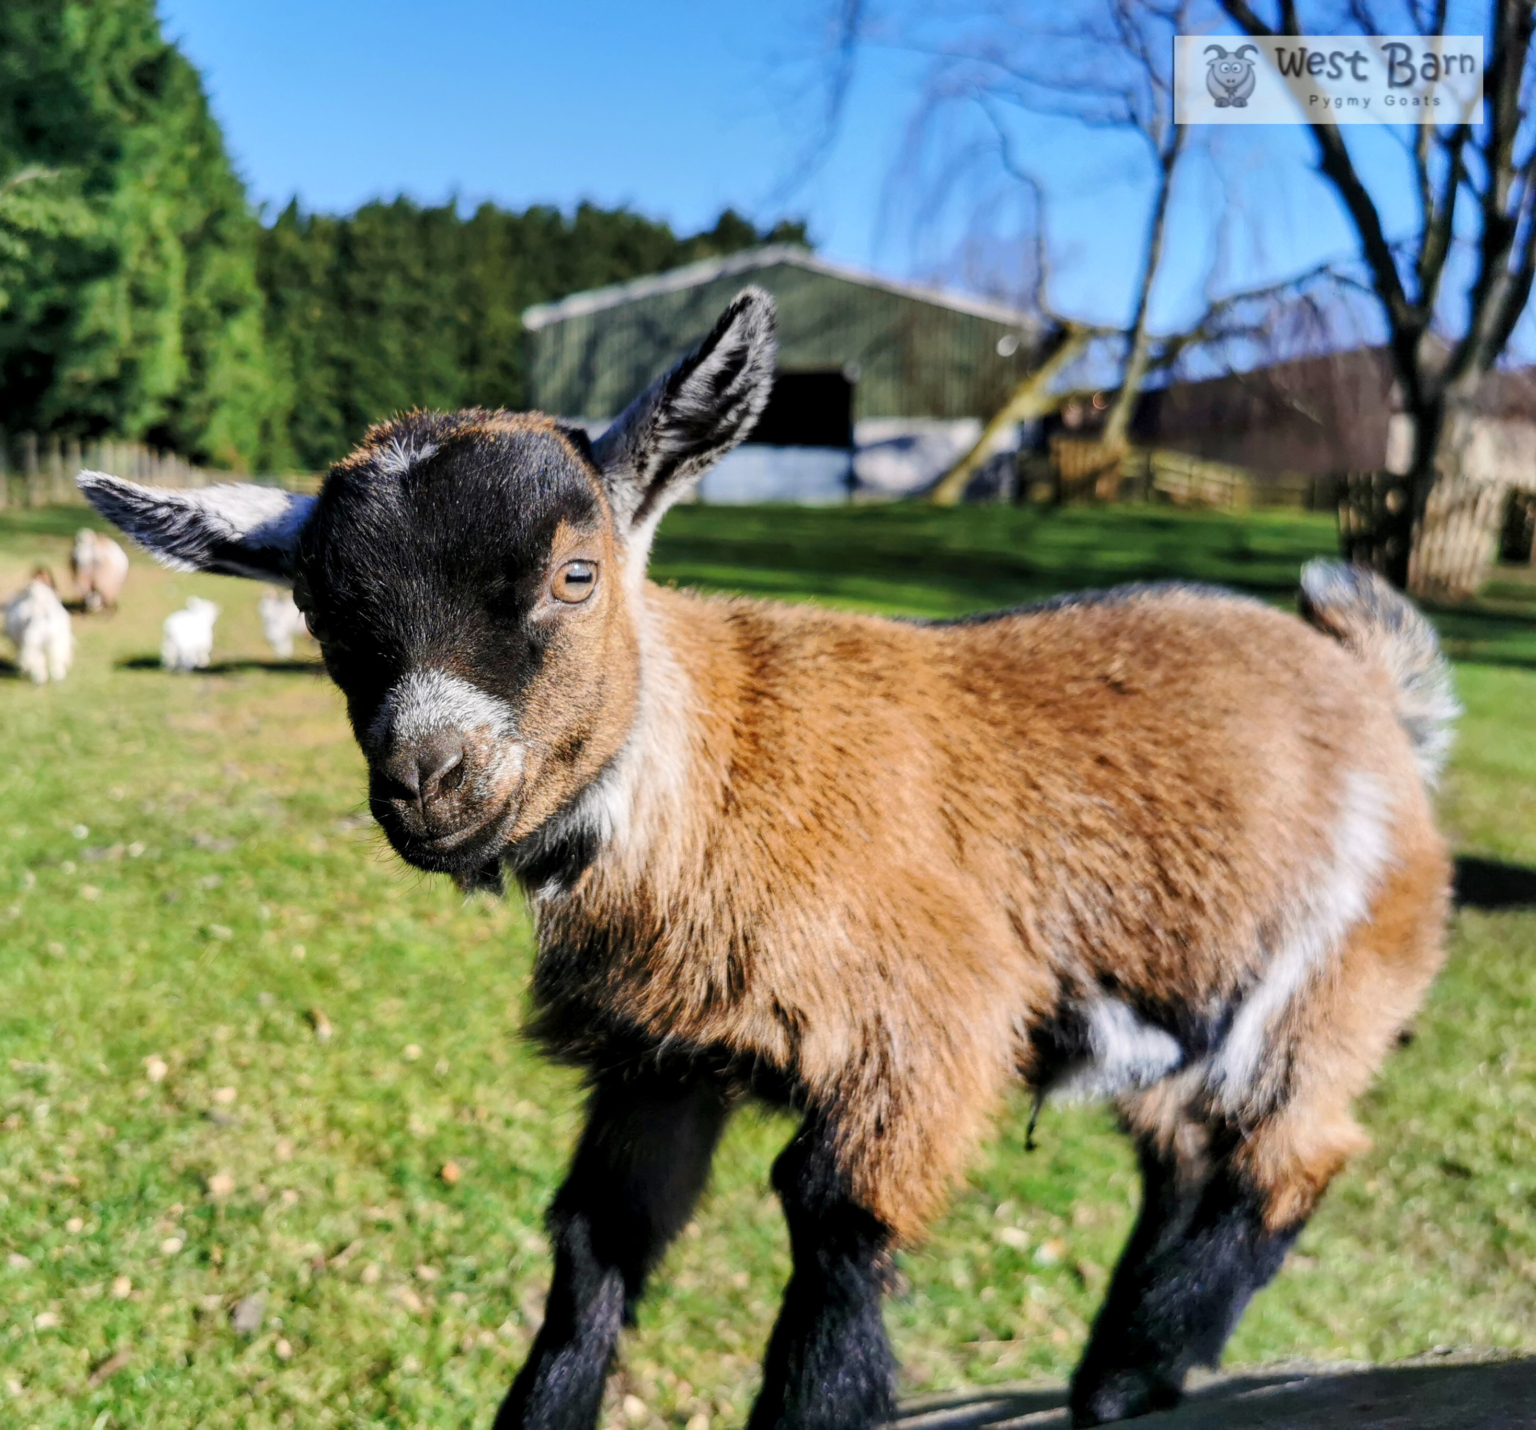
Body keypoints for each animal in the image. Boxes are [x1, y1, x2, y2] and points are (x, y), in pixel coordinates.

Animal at [79, 290, 1457, 1429]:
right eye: (319, 612)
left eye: (575, 573)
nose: (427, 780)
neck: (725, 766)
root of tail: (1376, 689)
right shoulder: (660, 1059)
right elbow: (596, 1244)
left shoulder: (925, 1027)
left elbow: (835, 1231)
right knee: (1187, 1154)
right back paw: (1115, 1369)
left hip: (1336, 979)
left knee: (1293, 1154)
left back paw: (1132, 1372)